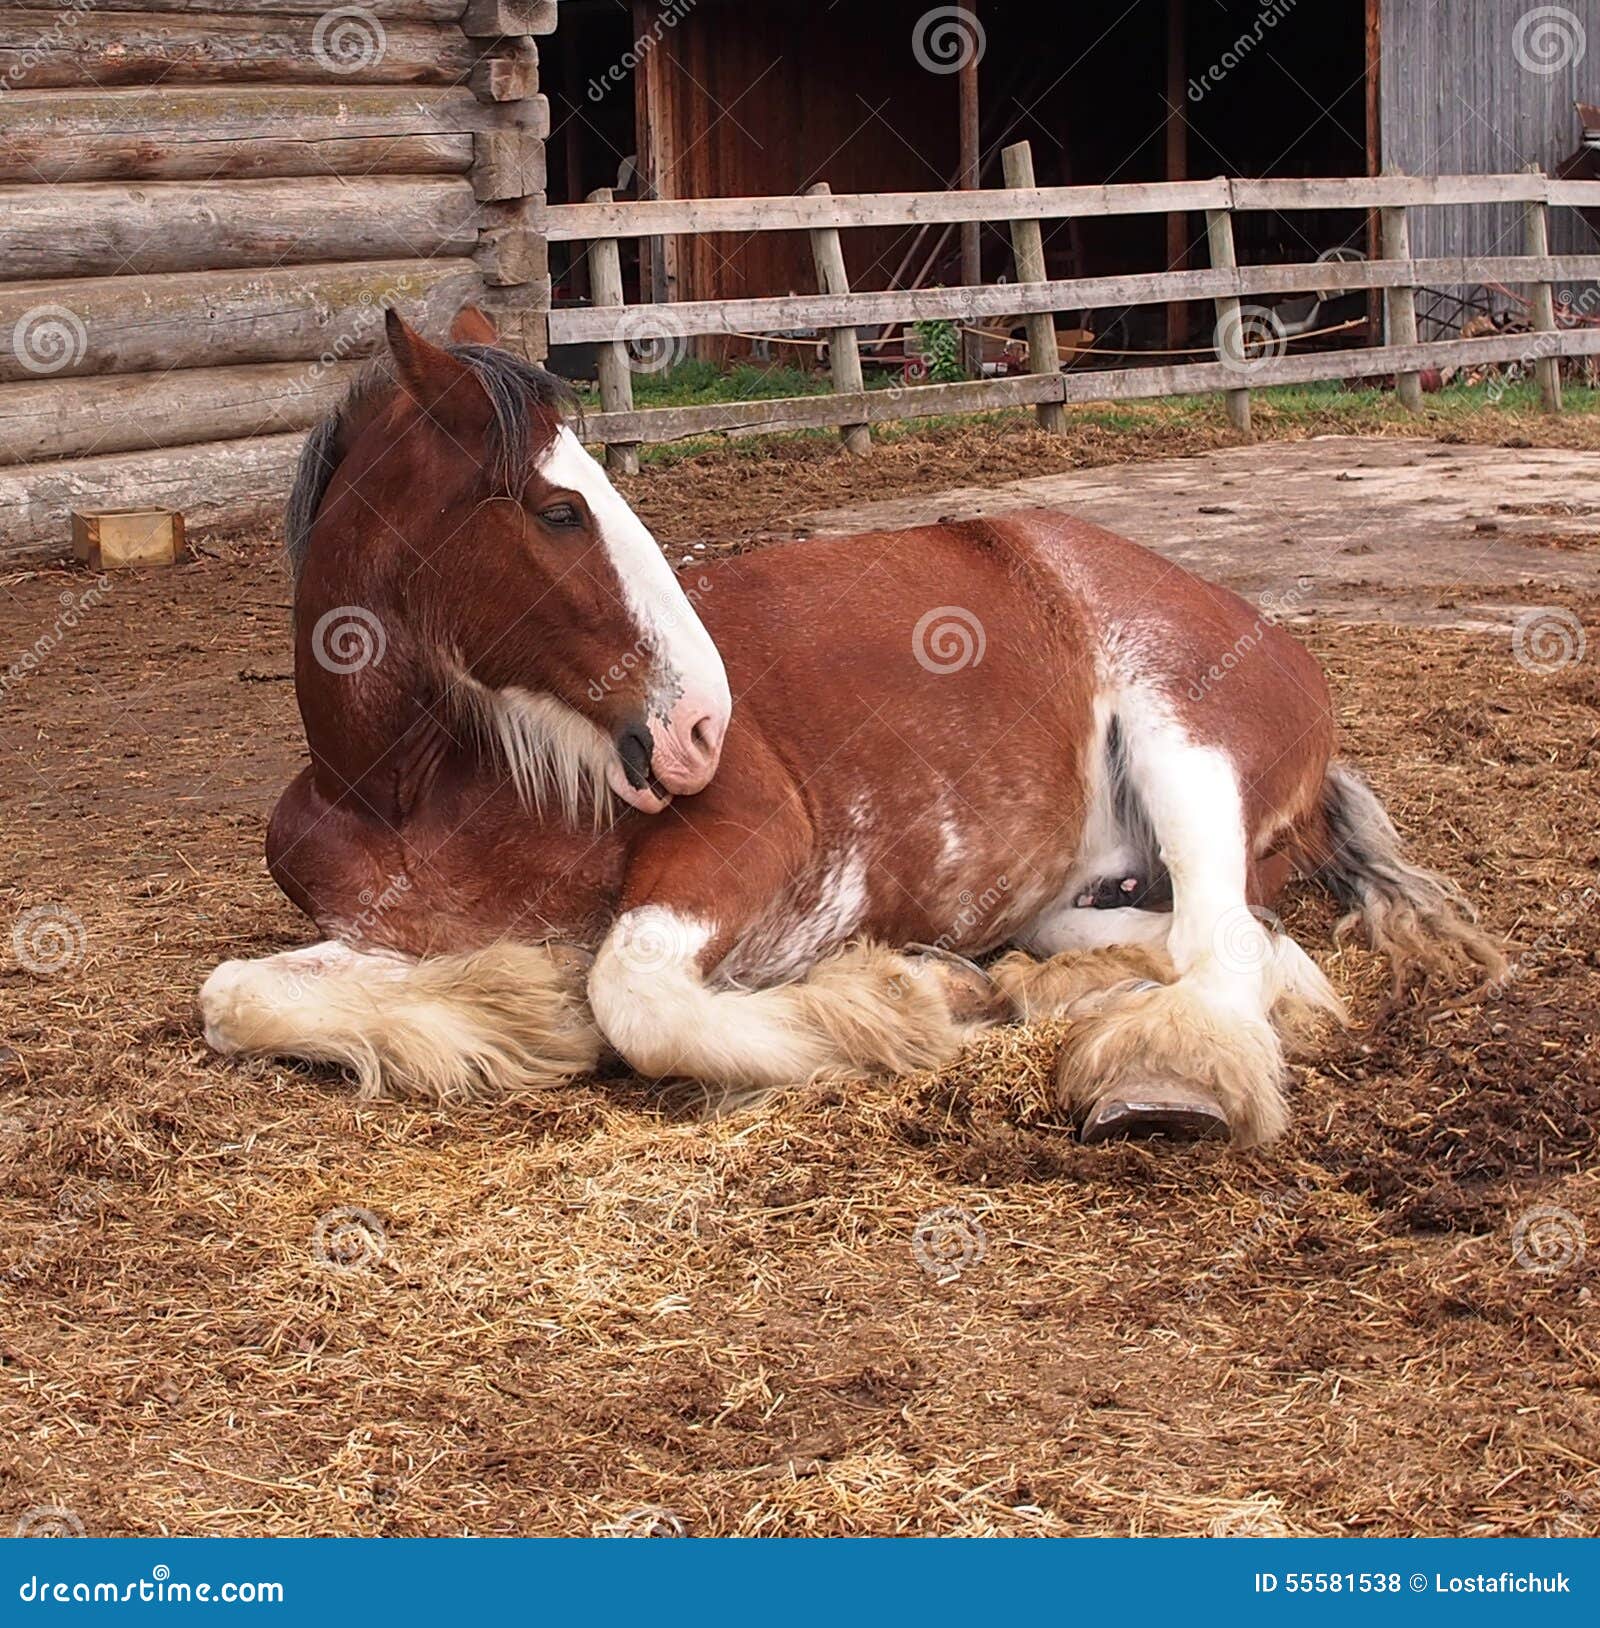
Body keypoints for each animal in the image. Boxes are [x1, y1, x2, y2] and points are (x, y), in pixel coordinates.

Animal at [199, 305, 1503, 1147]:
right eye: (558, 509)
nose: (701, 724)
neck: (410, 788)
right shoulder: (383, 930)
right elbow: (234, 994)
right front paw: (508, 1006)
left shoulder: (746, 835)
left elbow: (637, 998)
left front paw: (905, 1010)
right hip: (1081, 886)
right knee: (1220, 941)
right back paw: (1040, 989)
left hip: (1186, 746)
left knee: (1230, 946)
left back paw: (1154, 1077)